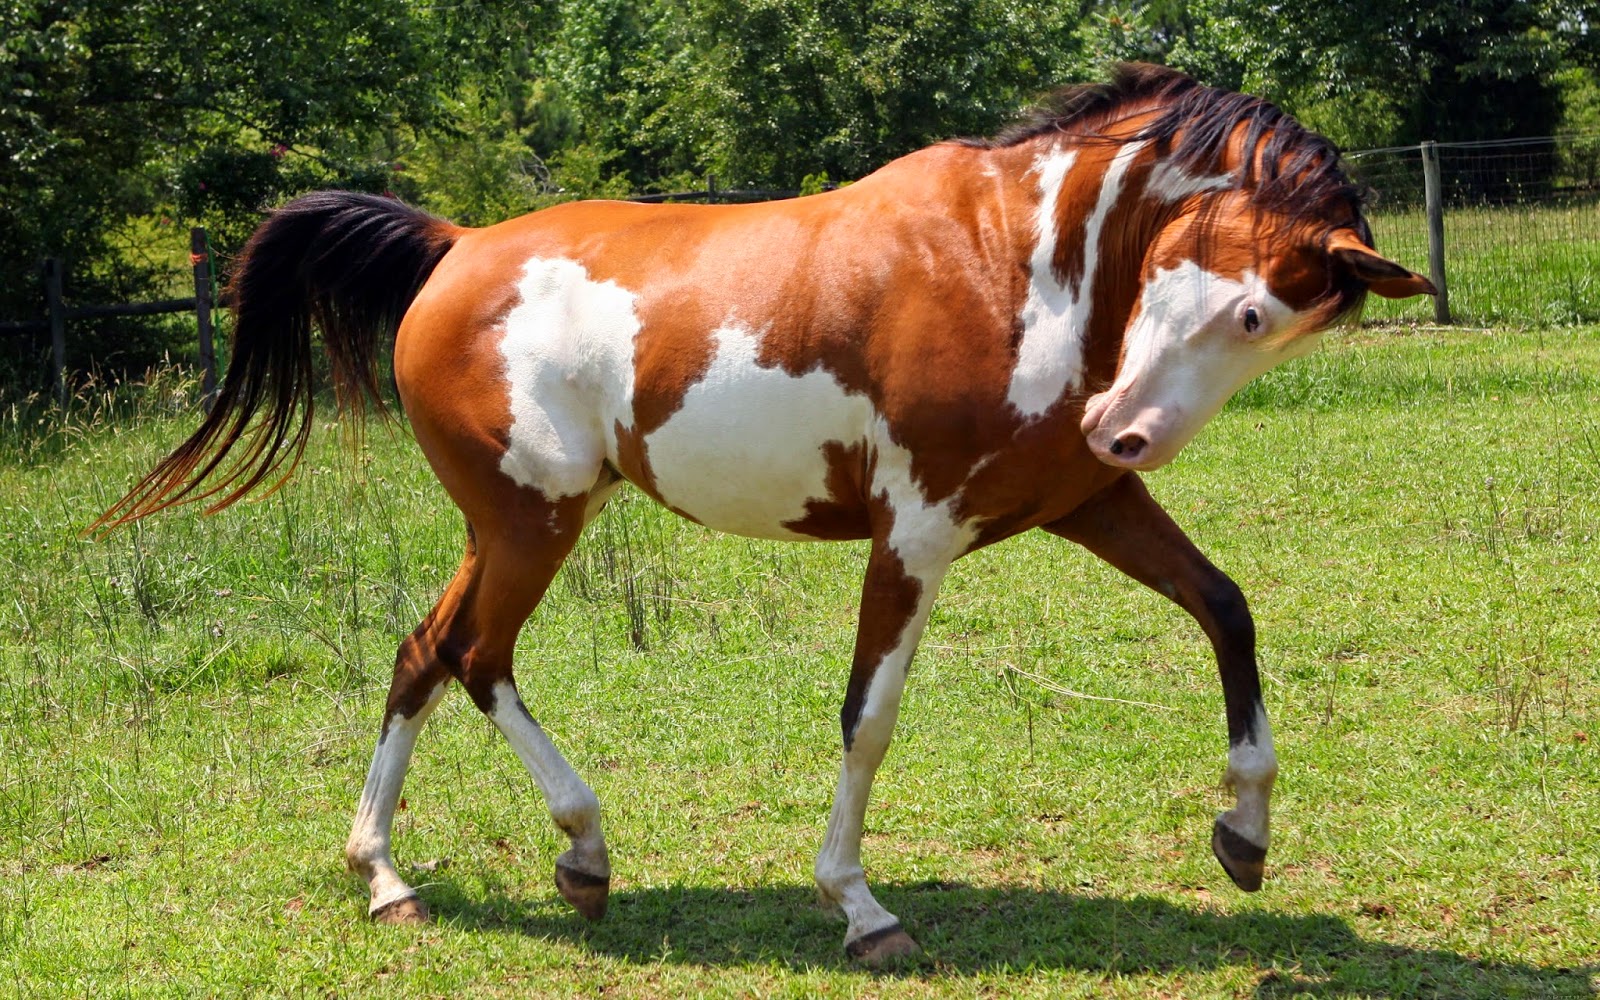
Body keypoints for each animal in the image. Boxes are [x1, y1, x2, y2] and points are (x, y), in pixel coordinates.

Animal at [99, 63, 1433, 963]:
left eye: (1277, 329)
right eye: (1244, 309)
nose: (1126, 428)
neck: (1015, 264)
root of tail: (454, 246)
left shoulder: (1088, 502)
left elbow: (1226, 610)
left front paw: (1243, 835)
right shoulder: (918, 532)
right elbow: (867, 718)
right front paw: (858, 906)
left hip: (509, 523)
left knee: (423, 653)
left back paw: (388, 876)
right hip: (533, 523)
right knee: (477, 656)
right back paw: (580, 848)